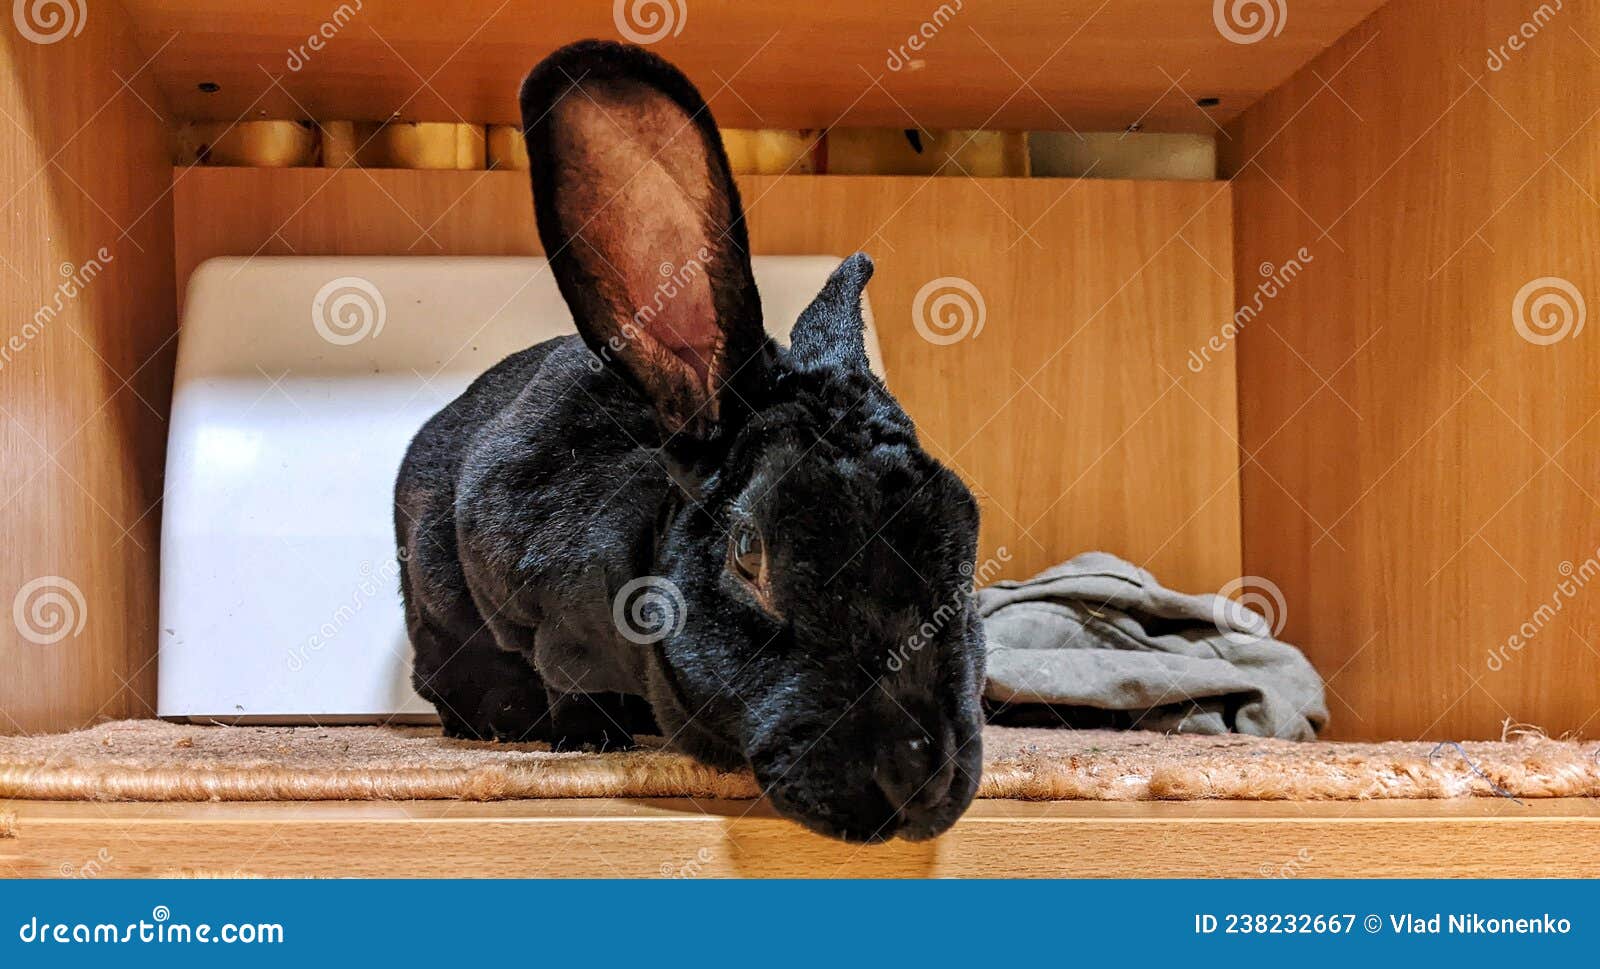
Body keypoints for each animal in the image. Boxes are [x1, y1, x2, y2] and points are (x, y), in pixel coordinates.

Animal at [394, 39, 984, 843]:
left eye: (968, 530)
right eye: (748, 553)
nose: (917, 779)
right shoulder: (544, 615)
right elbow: (565, 678)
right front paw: (589, 737)